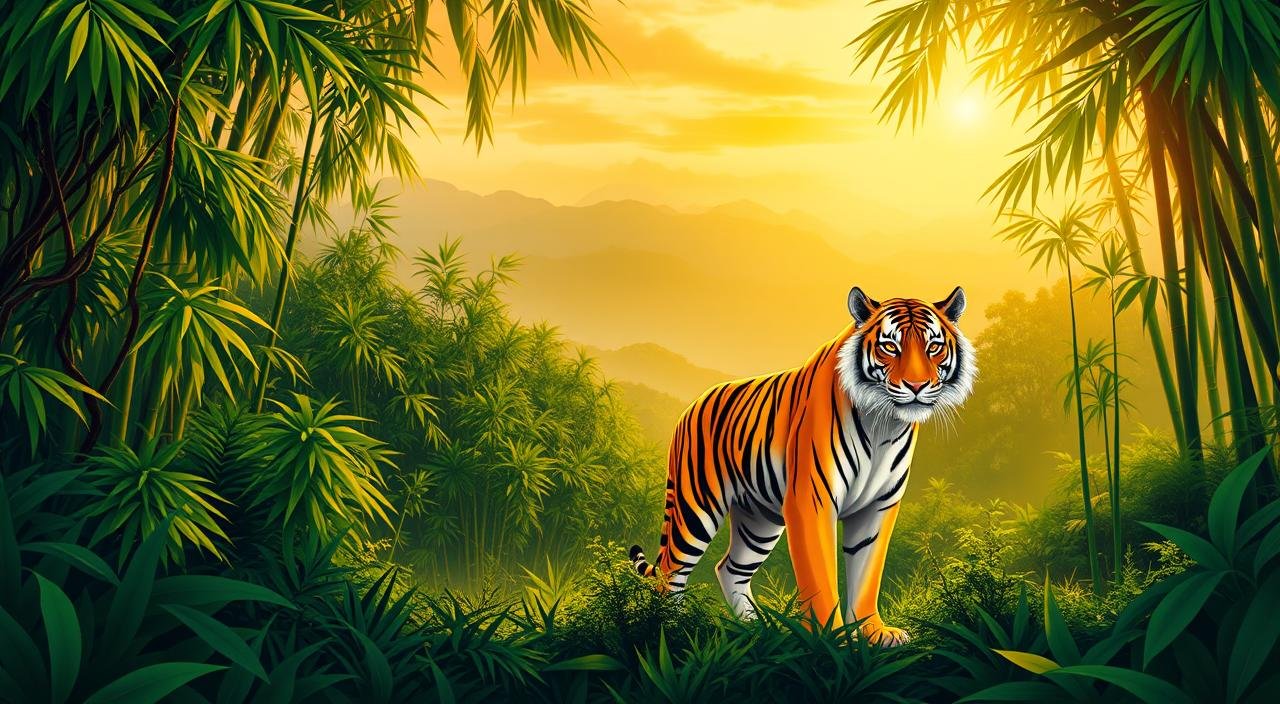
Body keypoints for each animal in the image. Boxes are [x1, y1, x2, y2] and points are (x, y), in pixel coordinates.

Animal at [630, 286, 975, 646]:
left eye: (933, 347)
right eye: (889, 346)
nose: (916, 386)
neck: (884, 425)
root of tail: (691, 406)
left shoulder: (879, 507)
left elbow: (867, 573)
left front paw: (874, 632)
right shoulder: (812, 501)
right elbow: (820, 576)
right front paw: (832, 637)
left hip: (758, 519)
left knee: (729, 569)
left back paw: (761, 628)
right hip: (696, 508)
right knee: (670, 572)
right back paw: (673, 627)